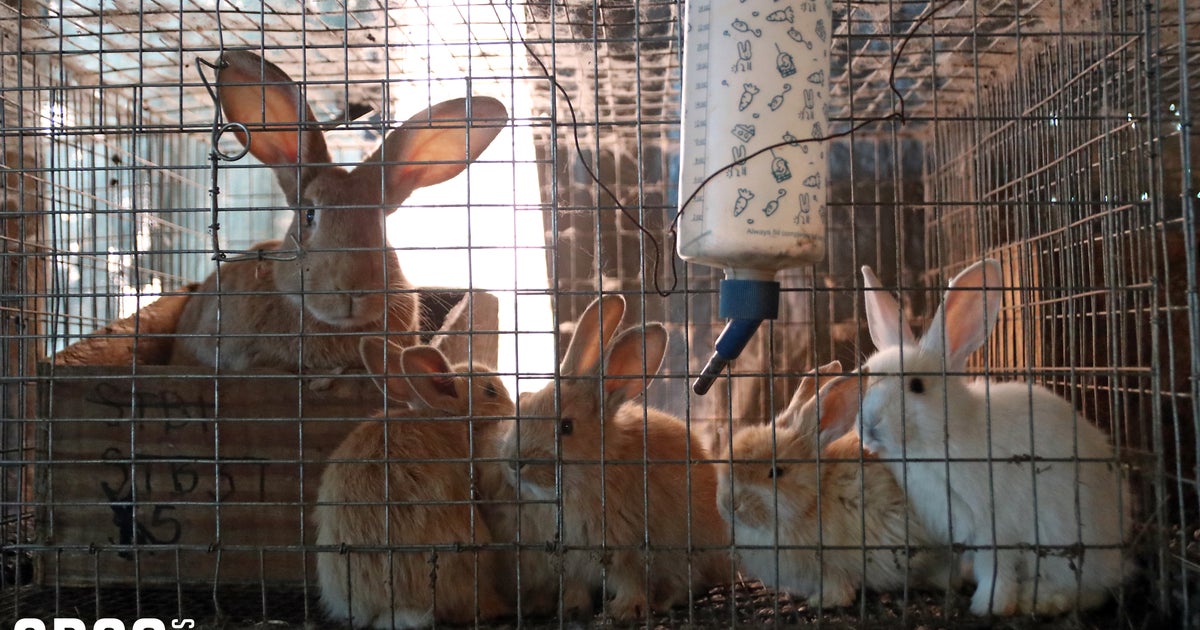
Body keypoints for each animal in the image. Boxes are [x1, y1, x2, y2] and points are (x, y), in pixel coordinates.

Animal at [499, 295, 731, 620]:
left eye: (566, 427)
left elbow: (633, 582)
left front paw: (624, 610)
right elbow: (576, 587)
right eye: (524, 403)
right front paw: (571, 608)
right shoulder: (573, 562)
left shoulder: (630, 551)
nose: (513, 463)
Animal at [714, 360, 960, 608]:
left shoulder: (833, 567)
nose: (729, 504)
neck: (814, 499)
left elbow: (839, 591)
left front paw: (817, 602)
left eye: (776, 472)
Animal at [856, 259, 1132, 616]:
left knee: (1090, 589)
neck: (943, 437)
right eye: (866, 378)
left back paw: (1042, 598)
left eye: (917, 386)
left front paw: (989, 605)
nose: (869, 424)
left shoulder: (993, 526)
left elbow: (995, 569)